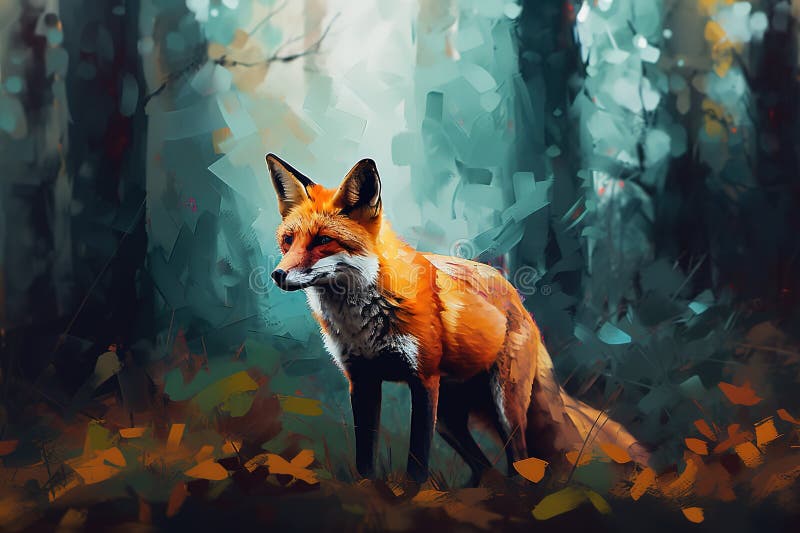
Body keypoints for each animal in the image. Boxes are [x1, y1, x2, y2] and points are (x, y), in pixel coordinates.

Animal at [266, 154, 650, 485]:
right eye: (288, 240)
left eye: (323, 240)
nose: (277, 274)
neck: (361, 321)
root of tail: (517, 298)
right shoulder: (362, 380)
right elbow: (364, 458)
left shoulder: (423, 380)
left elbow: (417, 460)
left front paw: (410, 496)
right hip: (450, 420)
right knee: (485, 468)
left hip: (503, 406)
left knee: (519, 461)